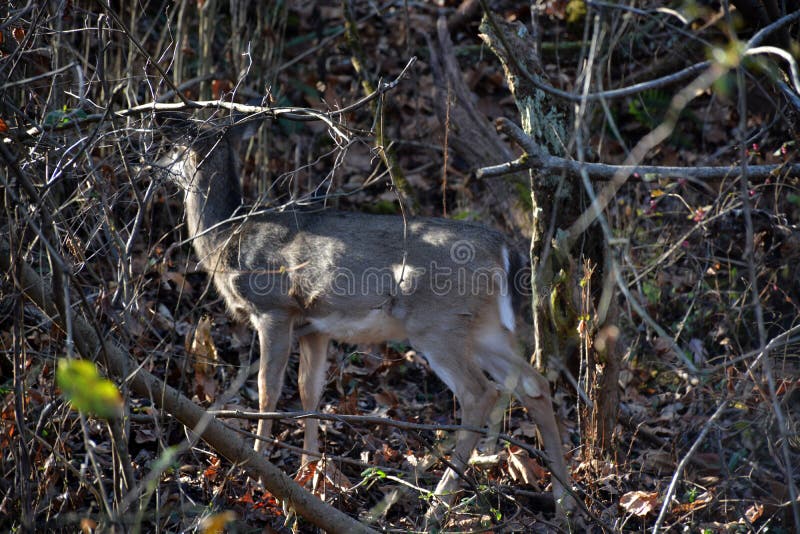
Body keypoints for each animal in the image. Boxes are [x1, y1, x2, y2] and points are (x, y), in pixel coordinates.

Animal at [159, 115, 574, 521]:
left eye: (174, 143)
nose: (154, 165)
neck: (227, 238)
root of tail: (504, 250)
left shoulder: (274, 308)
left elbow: (268, 388)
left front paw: (260, 469)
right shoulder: (314, 327)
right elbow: (309, 390)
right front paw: (308, 475)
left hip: (437, 324)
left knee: (481, 392)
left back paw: (438, 505)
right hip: (485, 327)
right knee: (534, 384)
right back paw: (564, 503)